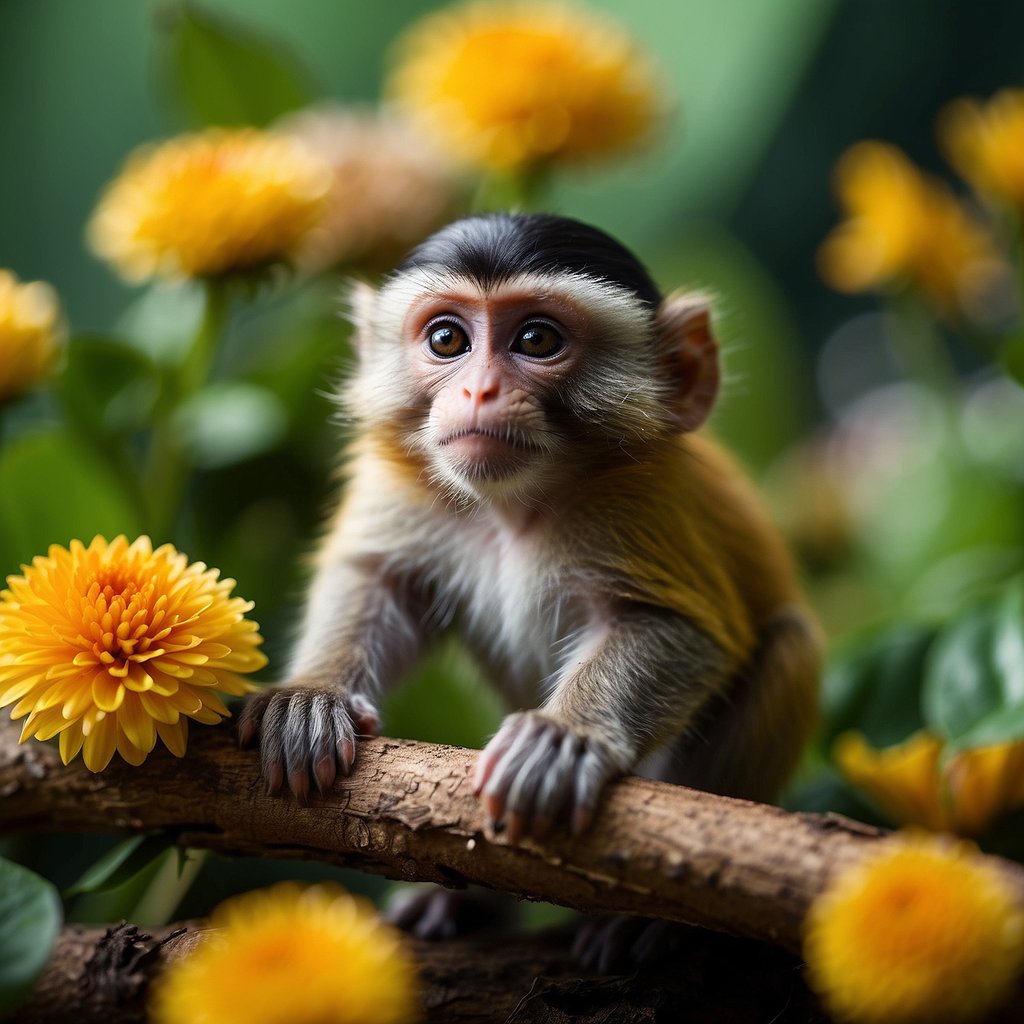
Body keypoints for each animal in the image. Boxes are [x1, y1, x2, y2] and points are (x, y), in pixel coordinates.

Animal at [238, 212, 821, 965]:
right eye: (447, 339)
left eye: (537, 339)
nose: (479, 392)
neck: (515, 508)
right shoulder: (406, 478)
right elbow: (377, 580)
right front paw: (312, 697)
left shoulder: (640, 494)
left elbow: (677, 628)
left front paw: (562, 738)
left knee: (790, 649)